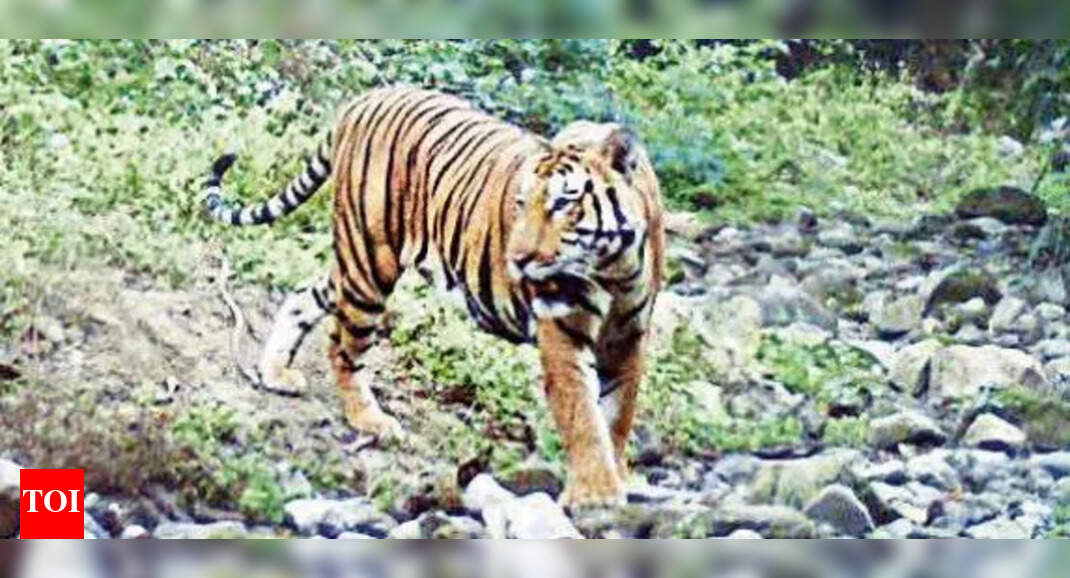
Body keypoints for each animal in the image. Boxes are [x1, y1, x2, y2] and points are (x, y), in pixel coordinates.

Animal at [200, 87, 664, 507]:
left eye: (564, 203)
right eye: (519, 203)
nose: (517, 259)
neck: (611, 265)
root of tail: (362, 99)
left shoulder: (628, 339)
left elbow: (617, 416)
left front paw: (617, 477)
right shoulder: (563, 335)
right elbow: (583, 416)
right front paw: (597, 495)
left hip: (354, 266)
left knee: (306, 293)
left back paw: (275, 371)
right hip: (370, 260)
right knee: (343, 347)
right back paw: (370, 419)